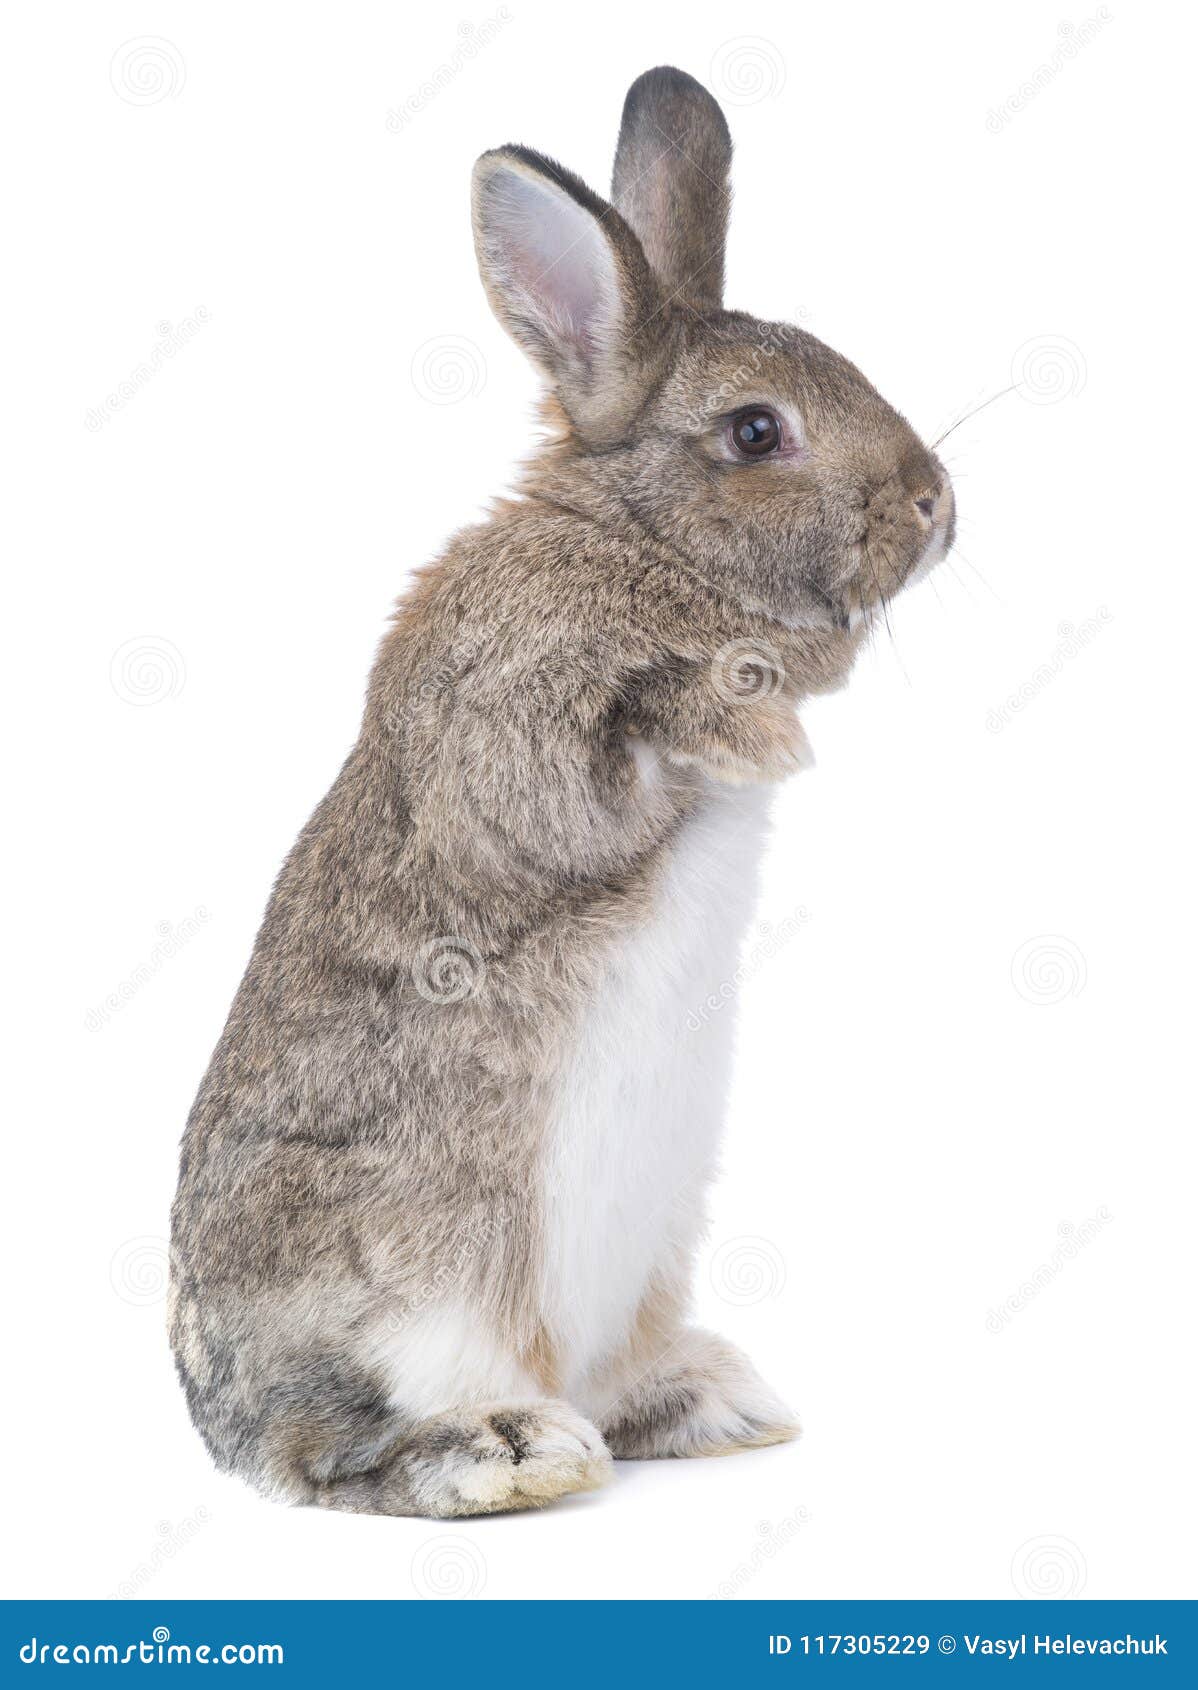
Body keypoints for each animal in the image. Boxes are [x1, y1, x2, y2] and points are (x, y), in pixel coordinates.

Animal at [168, 65, 955, 1519]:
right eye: (754, 432)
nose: (935, 504)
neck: (639, 544)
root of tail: (223, 1420)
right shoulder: (510, 729)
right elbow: (611, 758)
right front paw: (759, 729)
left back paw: (710, 1401)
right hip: (411, 1276)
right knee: (342, 1452)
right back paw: (508, 1450)